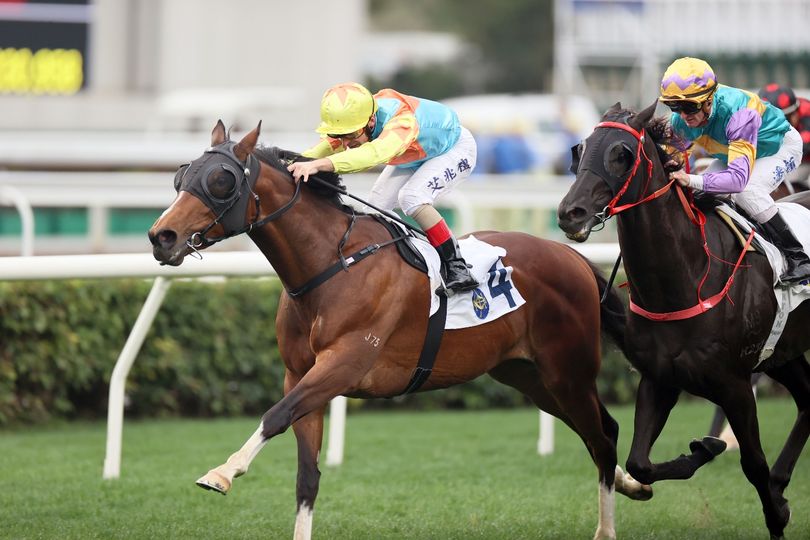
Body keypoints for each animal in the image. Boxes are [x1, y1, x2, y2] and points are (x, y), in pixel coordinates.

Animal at [148, 120, 650, 540]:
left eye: (220, 181)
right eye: (182, 176)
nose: (161, 237)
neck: (330, 265)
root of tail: (574, 258)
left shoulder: (344, 362)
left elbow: (274, 415)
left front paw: (222, 473)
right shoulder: (301, 375)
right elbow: (306, 474)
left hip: (568, 372)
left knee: (601, 439)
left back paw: (607, 528)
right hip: (530, 376)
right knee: (599, 430)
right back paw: (632, 484)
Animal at [557, 102, 810, 539]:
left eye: (622, 154)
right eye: (580, 149)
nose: (571, 213)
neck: (687, 277)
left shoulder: (735, 385)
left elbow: (753, 463)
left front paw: (776, 514)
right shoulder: (660, 378)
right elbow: (640, 463)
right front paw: (706, 447)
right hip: (785, 353)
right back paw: (780, 481)